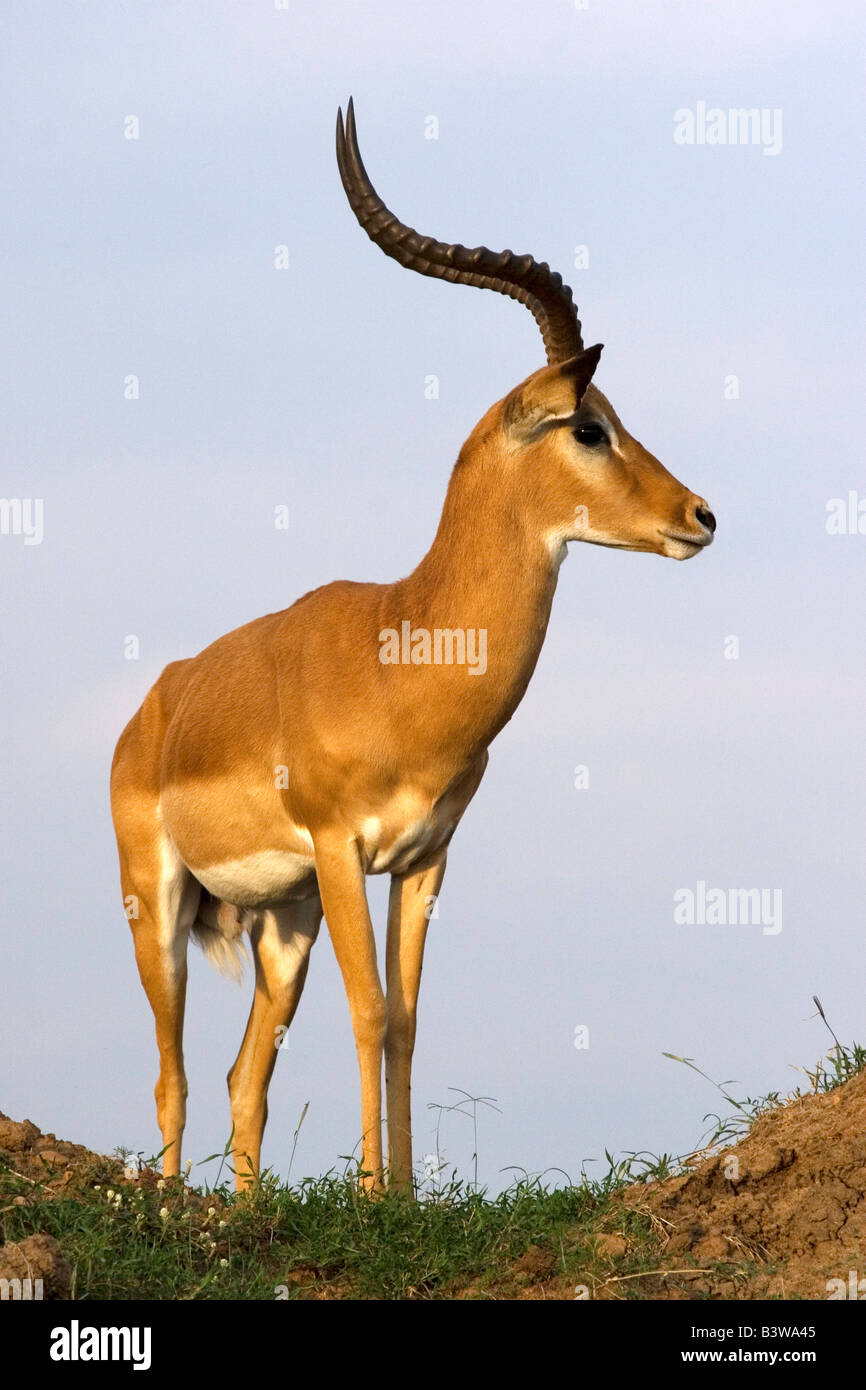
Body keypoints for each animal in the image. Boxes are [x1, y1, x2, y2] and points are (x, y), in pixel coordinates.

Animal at [110, 99, 715, 1193]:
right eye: (588, 426)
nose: (699, 515)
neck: (404, 656)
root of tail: (155, 706)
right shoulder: (343, 849)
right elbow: (367, 1011)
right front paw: (366, 1198)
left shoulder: (423, 860)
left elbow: (404, 1021)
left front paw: (403, 1199)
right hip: (158, 906)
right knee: (171, 1071)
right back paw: (174, 1211)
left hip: (284, 923)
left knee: (240, 1074)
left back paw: (241, 1213)